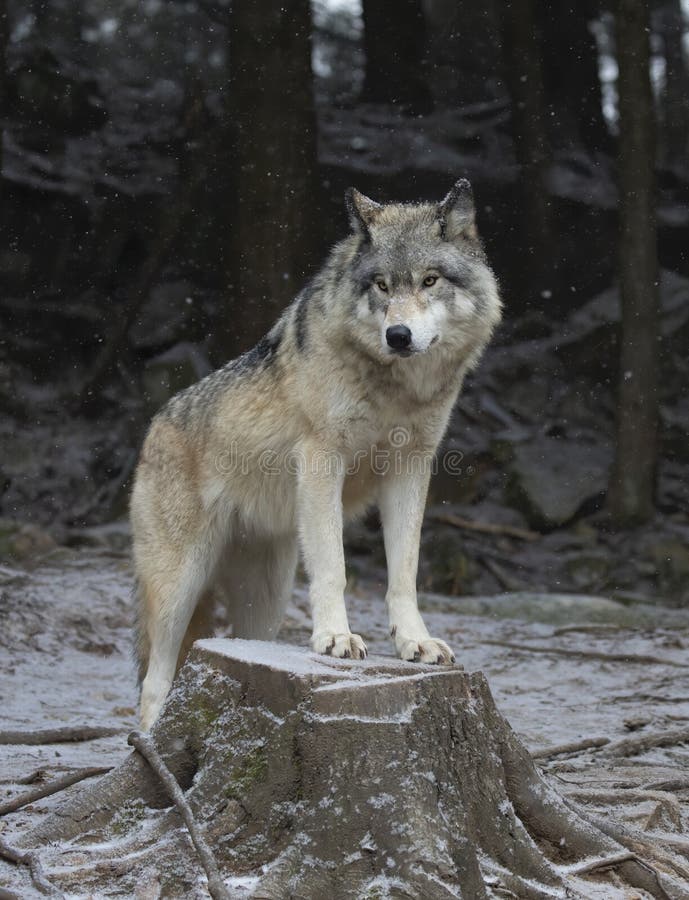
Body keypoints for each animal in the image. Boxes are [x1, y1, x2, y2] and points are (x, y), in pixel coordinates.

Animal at [131, 179, 502, 728]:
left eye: (430, 280)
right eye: (382, 286)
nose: (398, 335)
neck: (396, 388)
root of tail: (154, 426)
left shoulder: (411, 467)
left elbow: (404, 571)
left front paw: (414, 642)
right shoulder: (323, 459)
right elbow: (334, 567)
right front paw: (336, 638)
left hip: (266, 598)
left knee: (242, 643)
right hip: (181, 584)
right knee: (155, 680)